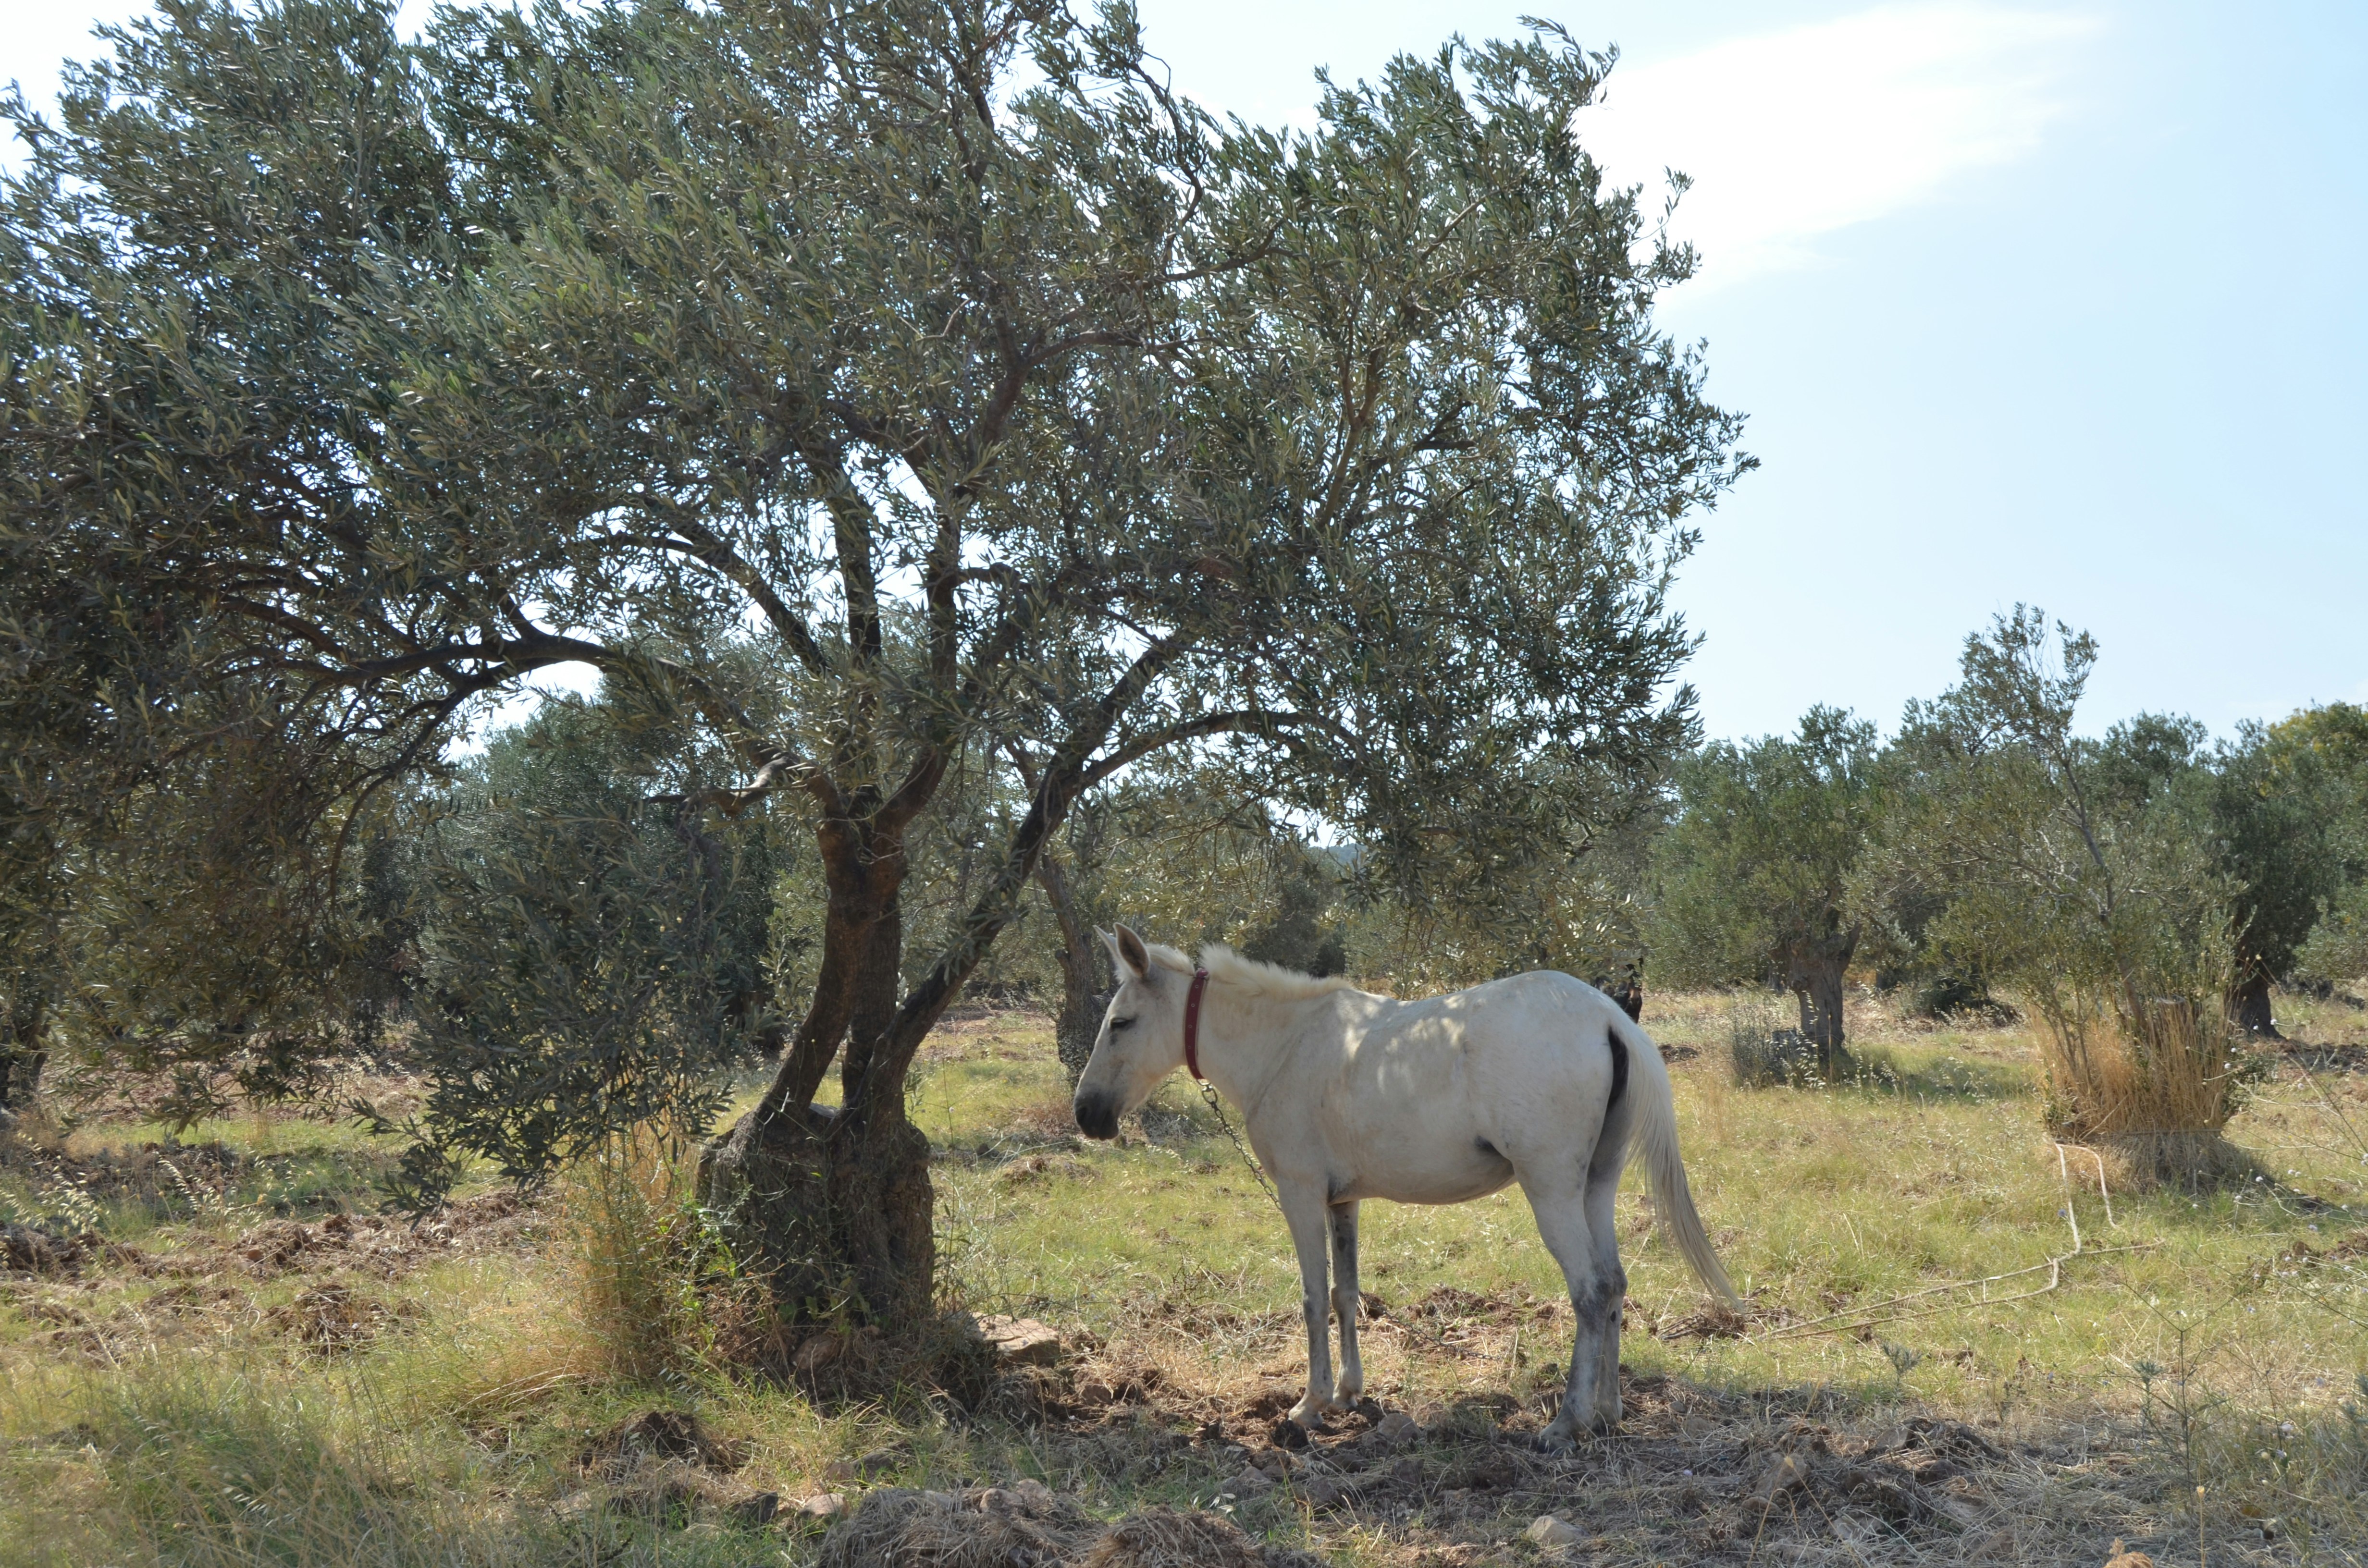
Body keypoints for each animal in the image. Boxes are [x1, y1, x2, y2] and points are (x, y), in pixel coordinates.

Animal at [1071, 925, 1738, 1451]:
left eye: (1120, 1023)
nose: (1087, 1115)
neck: (1285, 1045)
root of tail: (1607, 1016)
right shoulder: (1342, 1200)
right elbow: (1344, 1294)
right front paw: (1348, 1394)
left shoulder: (1300, 1194)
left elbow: (1311, 1299)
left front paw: (1308, 1406)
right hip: (1594, 1186)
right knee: (1614, 1284)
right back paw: (1605, 1414)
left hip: (1551, 1191)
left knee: (1590, 1289)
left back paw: (1564, 1424)